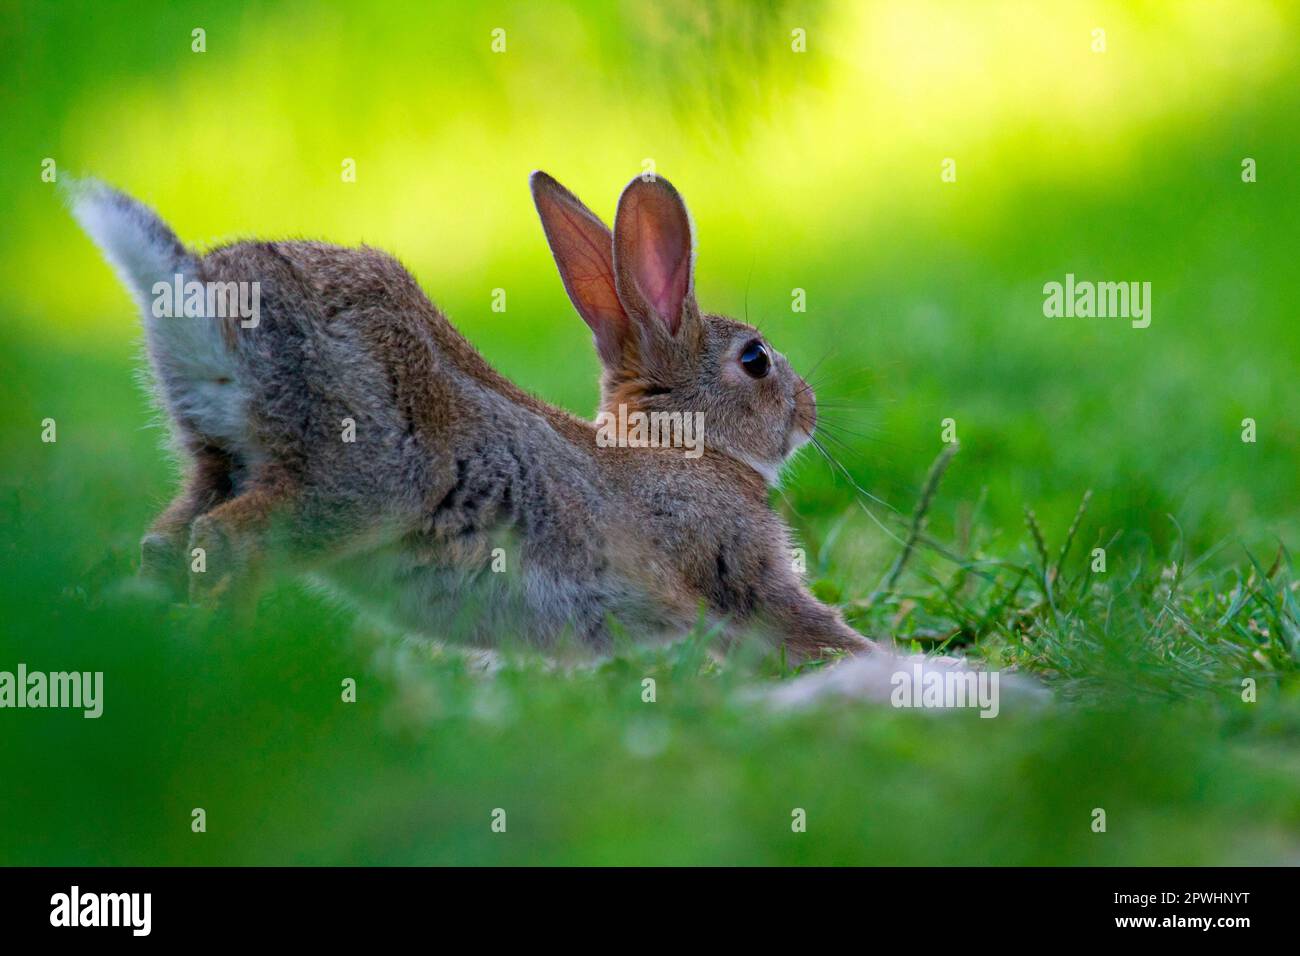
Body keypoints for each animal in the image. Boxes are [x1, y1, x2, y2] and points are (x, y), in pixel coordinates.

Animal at [68, 170, 872, 661]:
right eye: (755, 360)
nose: (808, 409)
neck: (683, 448)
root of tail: (202, 290)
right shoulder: (736, 565)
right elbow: (798, 621)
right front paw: (878, 664)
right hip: (359, 481)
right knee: (232, 539)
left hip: (216, 458)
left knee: (167, 545)